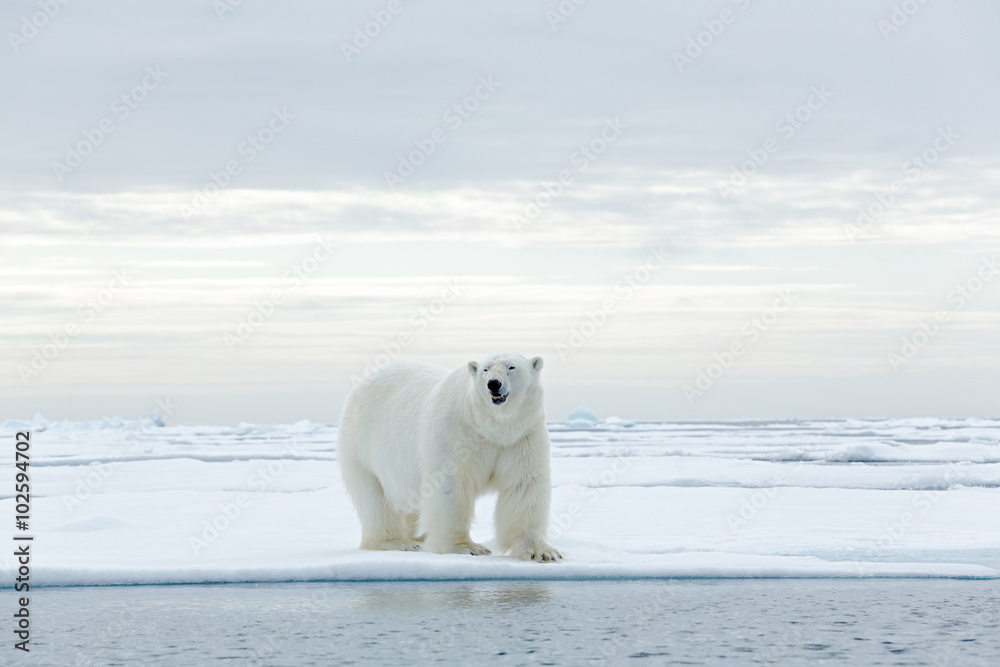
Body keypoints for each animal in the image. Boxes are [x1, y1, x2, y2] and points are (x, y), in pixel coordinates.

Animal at [337, 352, 563, 562]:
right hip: (361, 446)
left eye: (512, 366)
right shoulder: (457, 434)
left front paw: (542, 552)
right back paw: (398, 542)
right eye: (486, 369)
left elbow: (523, 485)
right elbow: (450, 486)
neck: (491, 427)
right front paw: (467, 547)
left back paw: (417, 537)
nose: (493, 384)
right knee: (374, 498)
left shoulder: (521, 437)